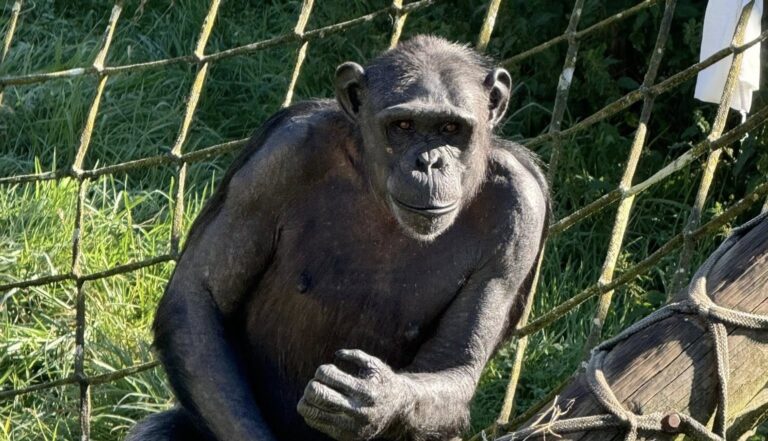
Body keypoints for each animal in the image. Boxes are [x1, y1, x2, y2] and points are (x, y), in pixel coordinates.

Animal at [127, 35, 549, 441]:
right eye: (403, 126)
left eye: (450, 128)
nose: (429, 162)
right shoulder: (278, 156)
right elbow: (199, 297)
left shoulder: (520, 208)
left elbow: (457, 362)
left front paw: (376, 399)